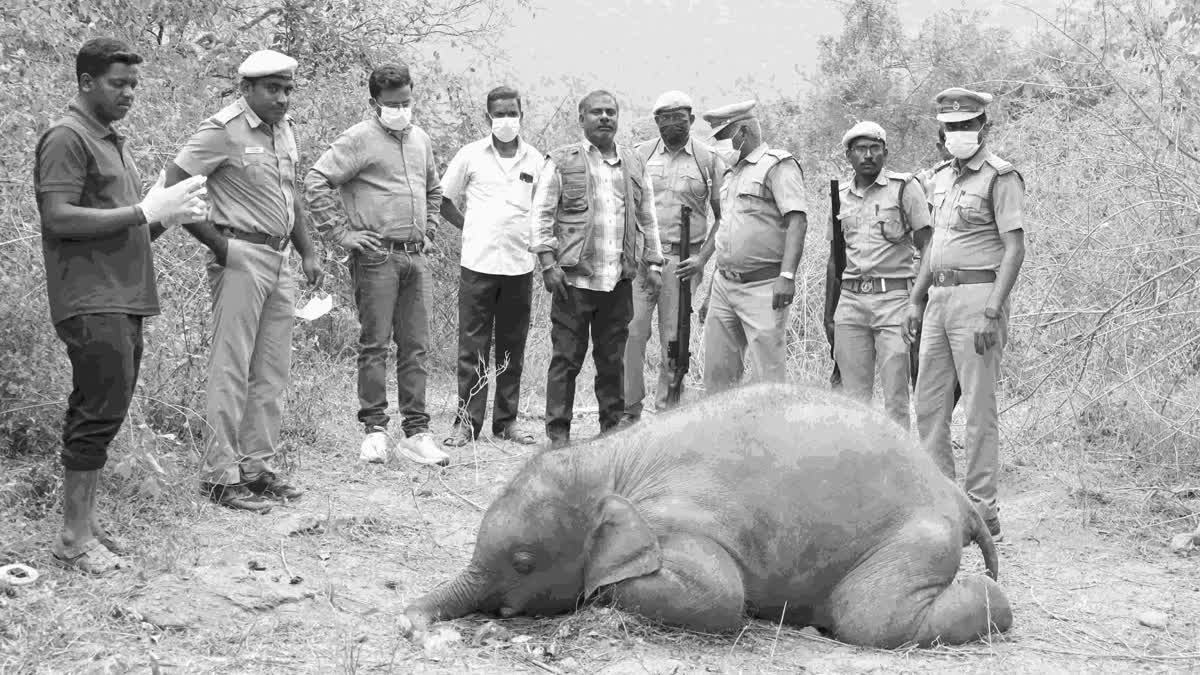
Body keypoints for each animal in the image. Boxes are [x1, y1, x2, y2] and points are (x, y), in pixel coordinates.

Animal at [401, 383, 1012, 648]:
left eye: (524, 562)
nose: (407, 622)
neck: (608, 462)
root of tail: (954, 493)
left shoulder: (678, 522)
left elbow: (721, 594)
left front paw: (593, 597)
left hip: (917, 536)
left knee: (869, 617)